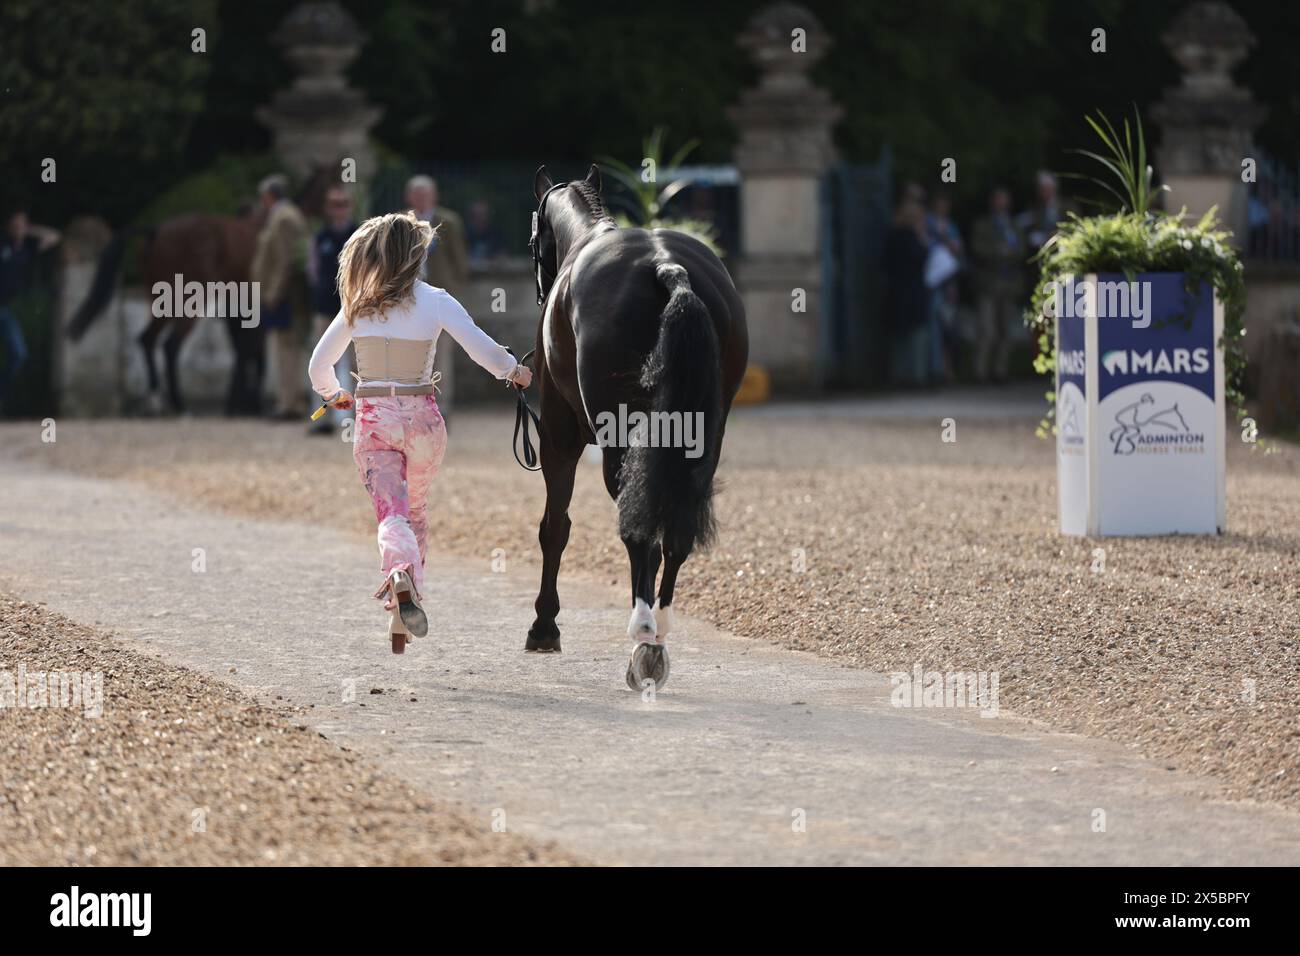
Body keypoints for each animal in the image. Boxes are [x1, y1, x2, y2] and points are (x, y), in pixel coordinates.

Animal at [66, 167, 332, 415]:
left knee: (147, 339)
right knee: (170, 345)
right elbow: (252, 351)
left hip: (160, 301)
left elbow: (245, 350)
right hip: (187, 302)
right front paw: (247, 403)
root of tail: (156, 230)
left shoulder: (241, 309)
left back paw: (157, 401)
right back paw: (179, 405)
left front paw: (240, 403)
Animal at [525, 164, 748, 690]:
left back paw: (644, 637)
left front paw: (544, 624)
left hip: (618, 442)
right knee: (677, 531)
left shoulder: (559, 437)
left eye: (533, 237)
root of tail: (667, 269)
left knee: (637, 527)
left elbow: (554, 528)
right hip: (702, 439)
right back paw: (657, 635)